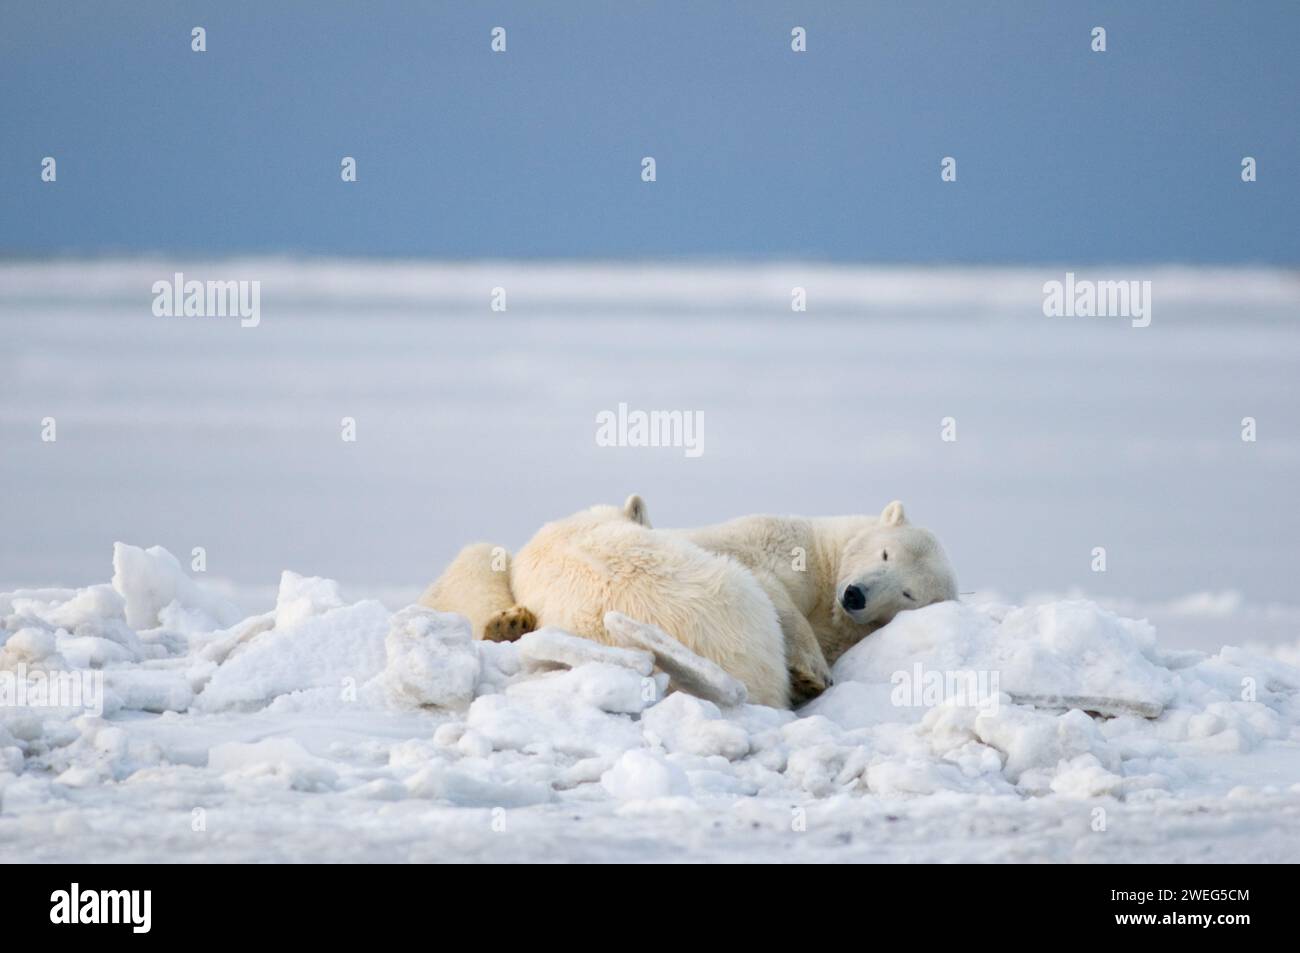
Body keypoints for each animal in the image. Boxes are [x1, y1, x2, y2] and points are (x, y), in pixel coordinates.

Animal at [419, 495, 957, 708]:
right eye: (884, 553)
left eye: (908, 593)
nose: (856, 594)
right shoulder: (770, 544)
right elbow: (772, 588)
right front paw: (811, 672)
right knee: (478, 561)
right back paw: (506, 624)